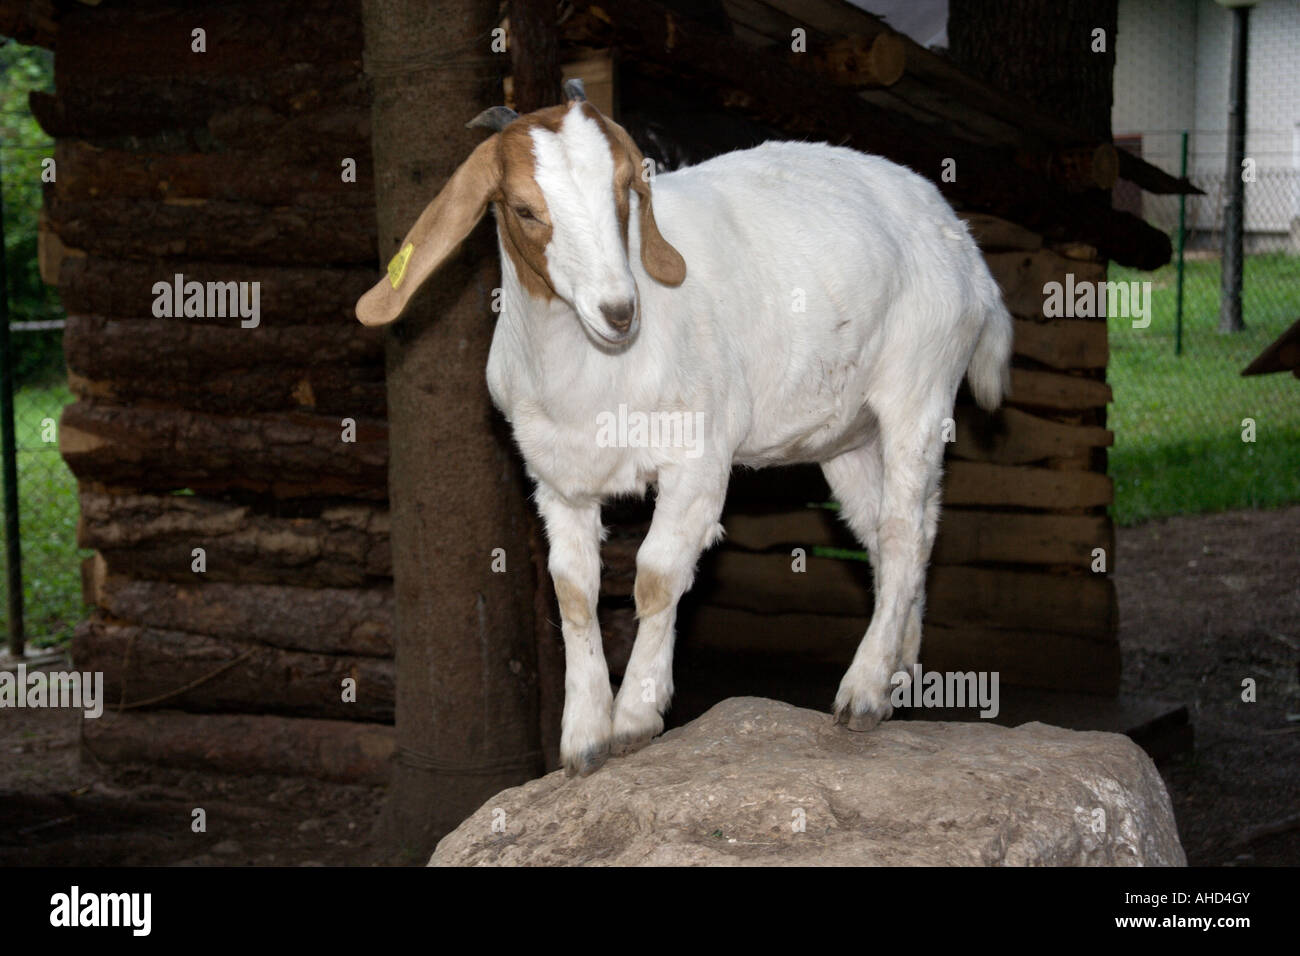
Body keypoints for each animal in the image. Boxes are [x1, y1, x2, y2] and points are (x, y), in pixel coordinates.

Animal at [357, 81, 1013, 777]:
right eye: (525, 210)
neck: (596, 372)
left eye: (625, 189)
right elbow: (573, 592)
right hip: (849, 436)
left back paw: (862, 692)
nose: (619, 311)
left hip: (918, 386)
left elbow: (656, 576)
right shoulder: (558, 480)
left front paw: (637, 716)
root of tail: (968, 249)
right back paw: (897, 672)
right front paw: (583, 737)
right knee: (897, 533)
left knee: (901, 530)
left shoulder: (697, 460)